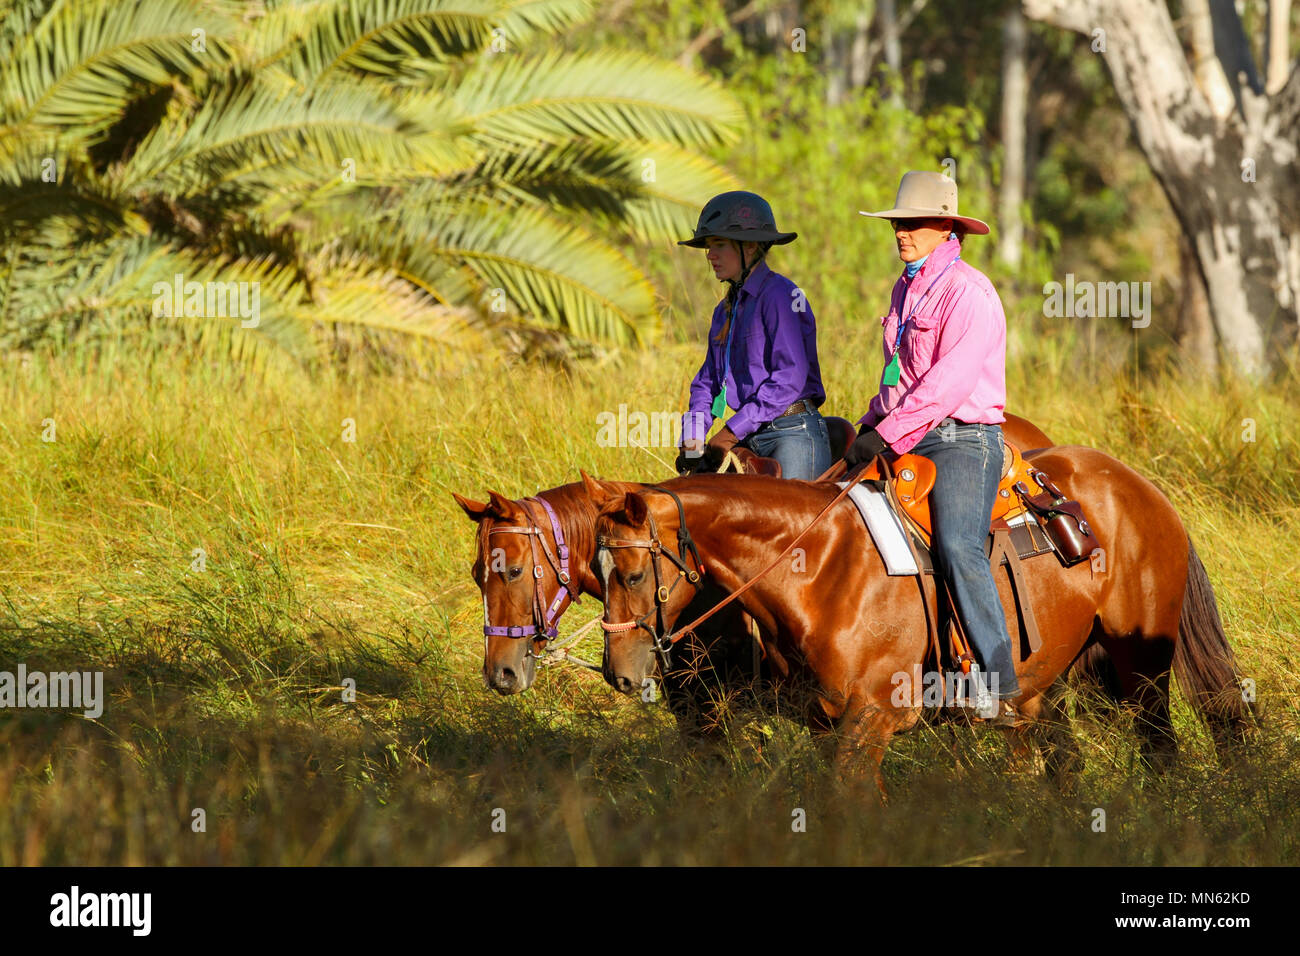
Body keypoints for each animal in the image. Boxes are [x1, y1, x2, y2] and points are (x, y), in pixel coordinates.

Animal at [586, 445, 1255, 794]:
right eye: (595, 569)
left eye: (635, 575)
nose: (618, 674)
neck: (820, 568)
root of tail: (1140, 487)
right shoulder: (829, 726)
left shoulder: (870, 722)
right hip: (1048, 687)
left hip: (1142, 667)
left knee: (1160, 750)